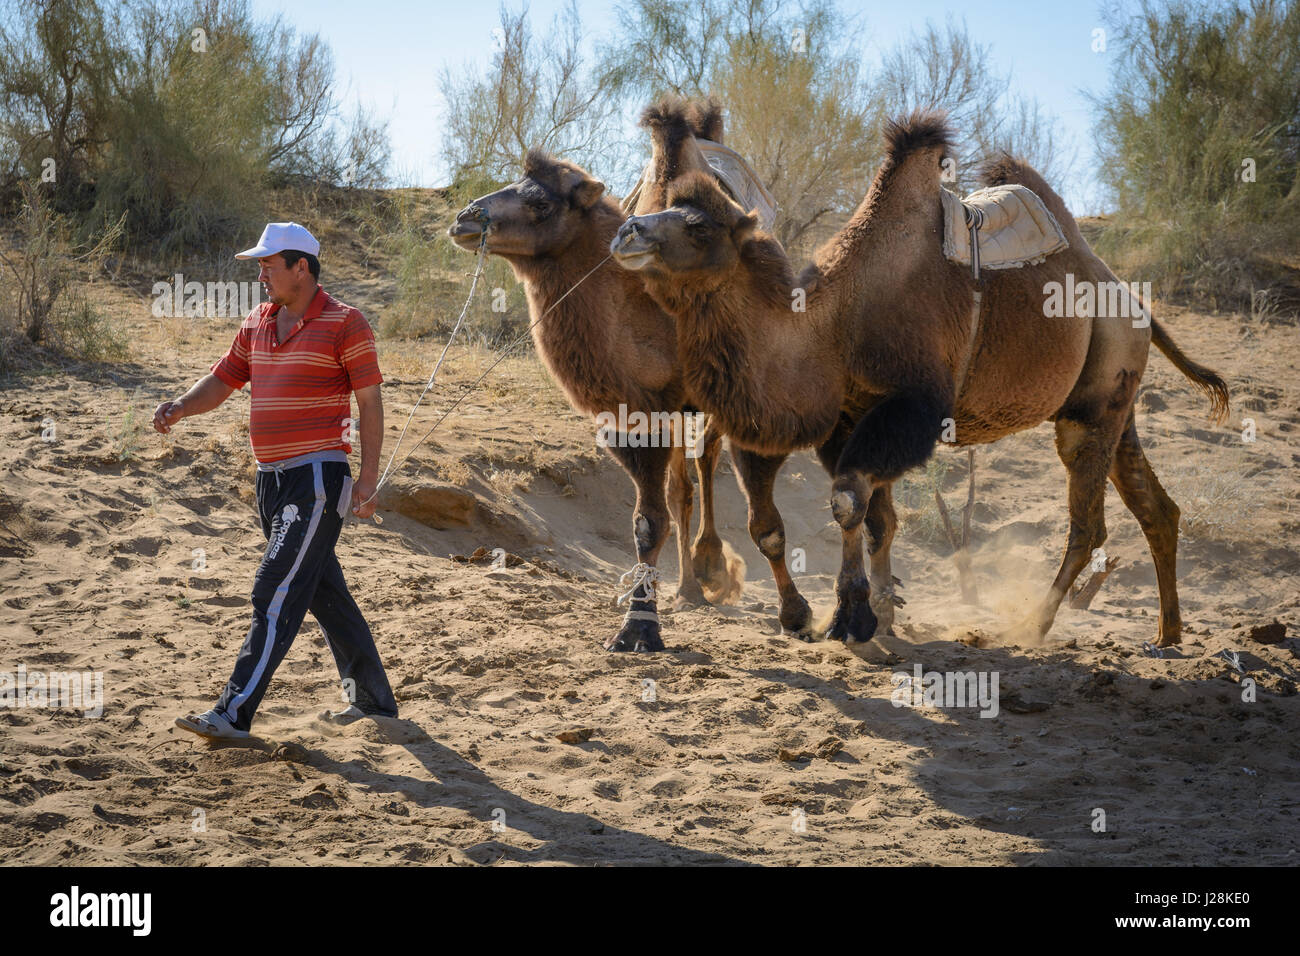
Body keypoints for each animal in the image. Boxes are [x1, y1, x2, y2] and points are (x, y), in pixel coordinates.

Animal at [445, 104, 820, 651]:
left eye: (539, 200)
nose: (465, 218)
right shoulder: (635, 413)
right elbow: (648, 521)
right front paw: (638, 625)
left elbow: (764, 519)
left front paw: (796, 612)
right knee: (684, 486)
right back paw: (691, 585)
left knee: (705, 462)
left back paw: (711, 567)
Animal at [611, 107, 1229, 648]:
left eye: (696, 224)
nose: (627, 232)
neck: (835, 324)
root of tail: (1131, 299)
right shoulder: (851, 416)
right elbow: (876, 516)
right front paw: (879, 614)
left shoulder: (913, 406)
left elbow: (847, 501)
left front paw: (852, 618)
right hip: (1115, 400)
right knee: (1154, 507)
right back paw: (1167, 636)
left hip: (1094, 401)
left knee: (1088, 526)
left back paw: (1030, 627)